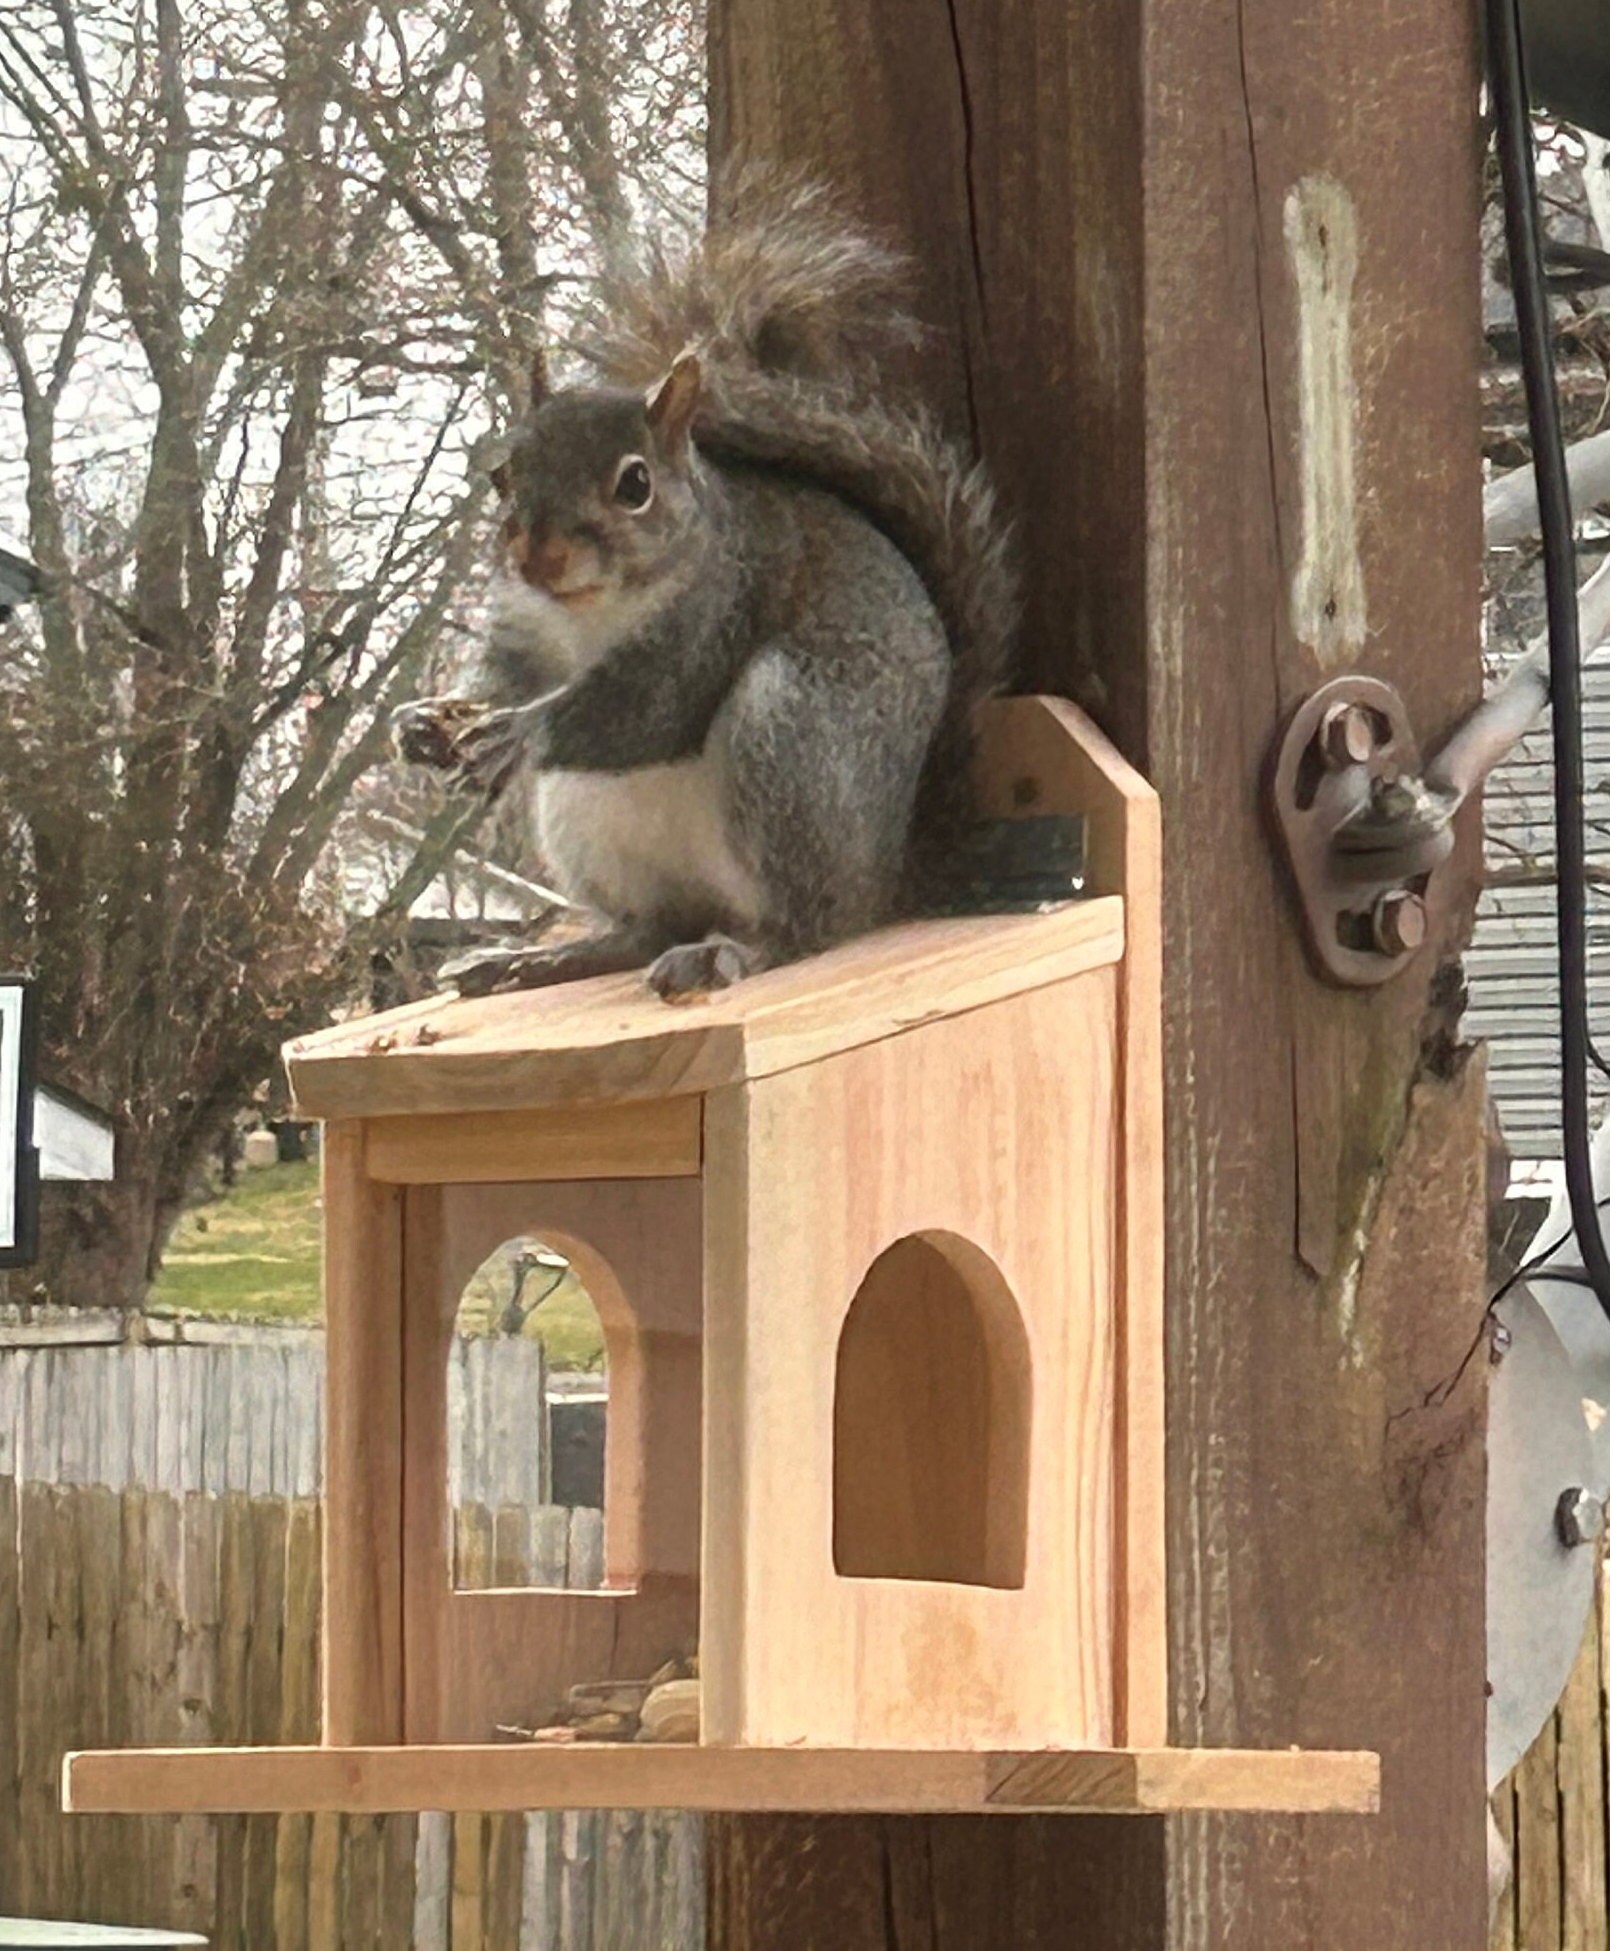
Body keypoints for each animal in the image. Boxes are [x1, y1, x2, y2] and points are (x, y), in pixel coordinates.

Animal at [395, 172, 1018, 1001]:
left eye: (634, 485)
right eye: (504, 474)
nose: (538, 555)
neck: (589, 612)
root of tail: (887, 877)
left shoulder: (715, 611)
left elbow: (645, 708)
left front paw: (517, 734)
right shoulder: (523, 629)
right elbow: (506, 677)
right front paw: (424, 723)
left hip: (791, 736)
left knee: (804, 927)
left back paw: (734, 953)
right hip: (584, 821)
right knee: (646, 929)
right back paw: (541, 958)